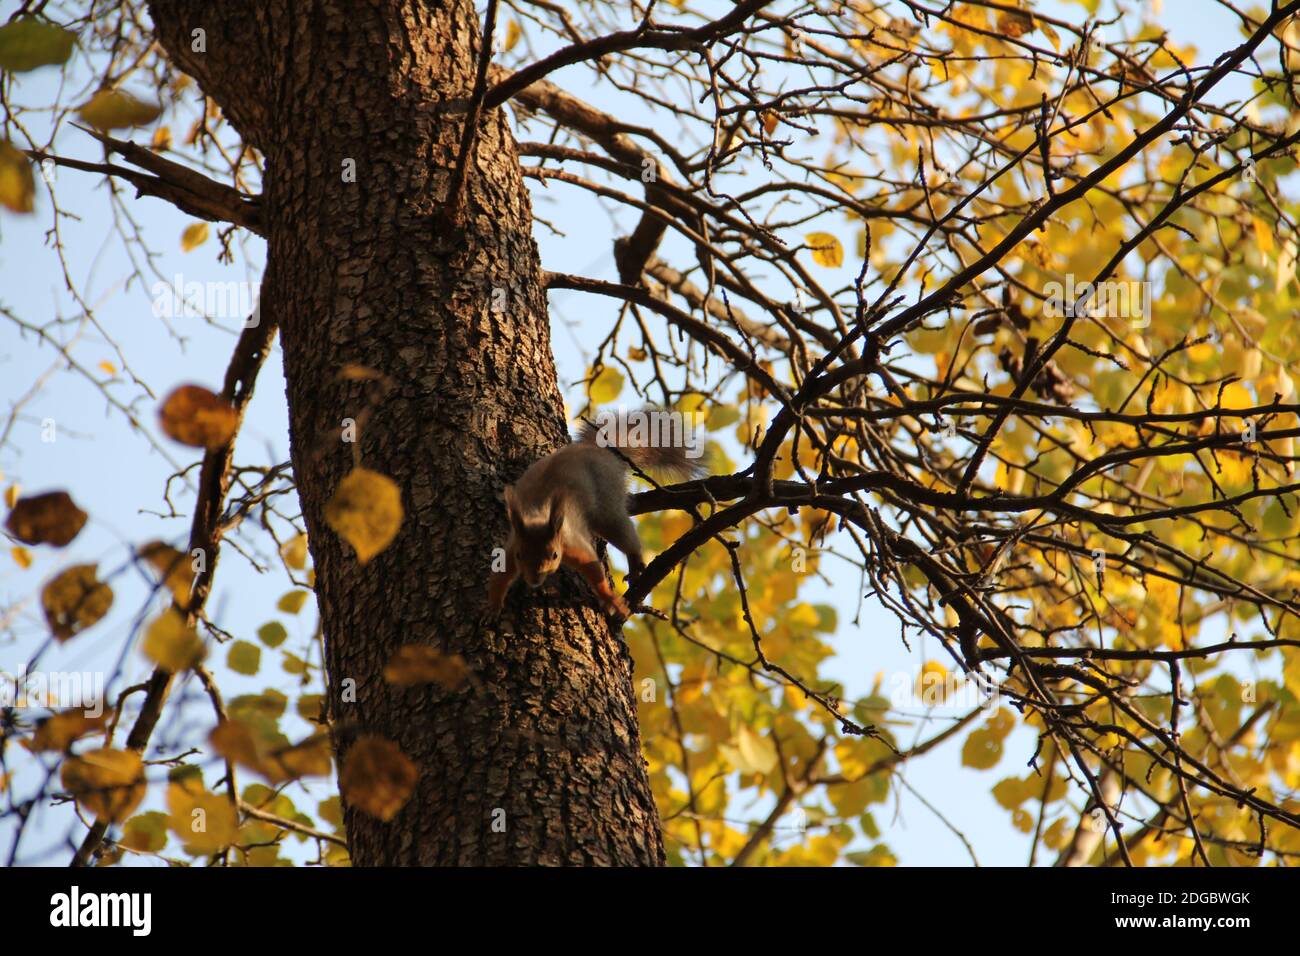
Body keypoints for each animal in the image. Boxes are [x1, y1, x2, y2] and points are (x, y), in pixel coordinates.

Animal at [483, 408, 706, 622]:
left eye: (554, 555)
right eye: (521, 555)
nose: (535, 580)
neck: (538, 516)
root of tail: (599, 450)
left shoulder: (572, 545)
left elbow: (594, 571)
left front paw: (613, 602)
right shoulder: (512, 547)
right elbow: (499, 577)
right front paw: (492, 607)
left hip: (607, 507)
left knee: (625, 536)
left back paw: (635, 564)